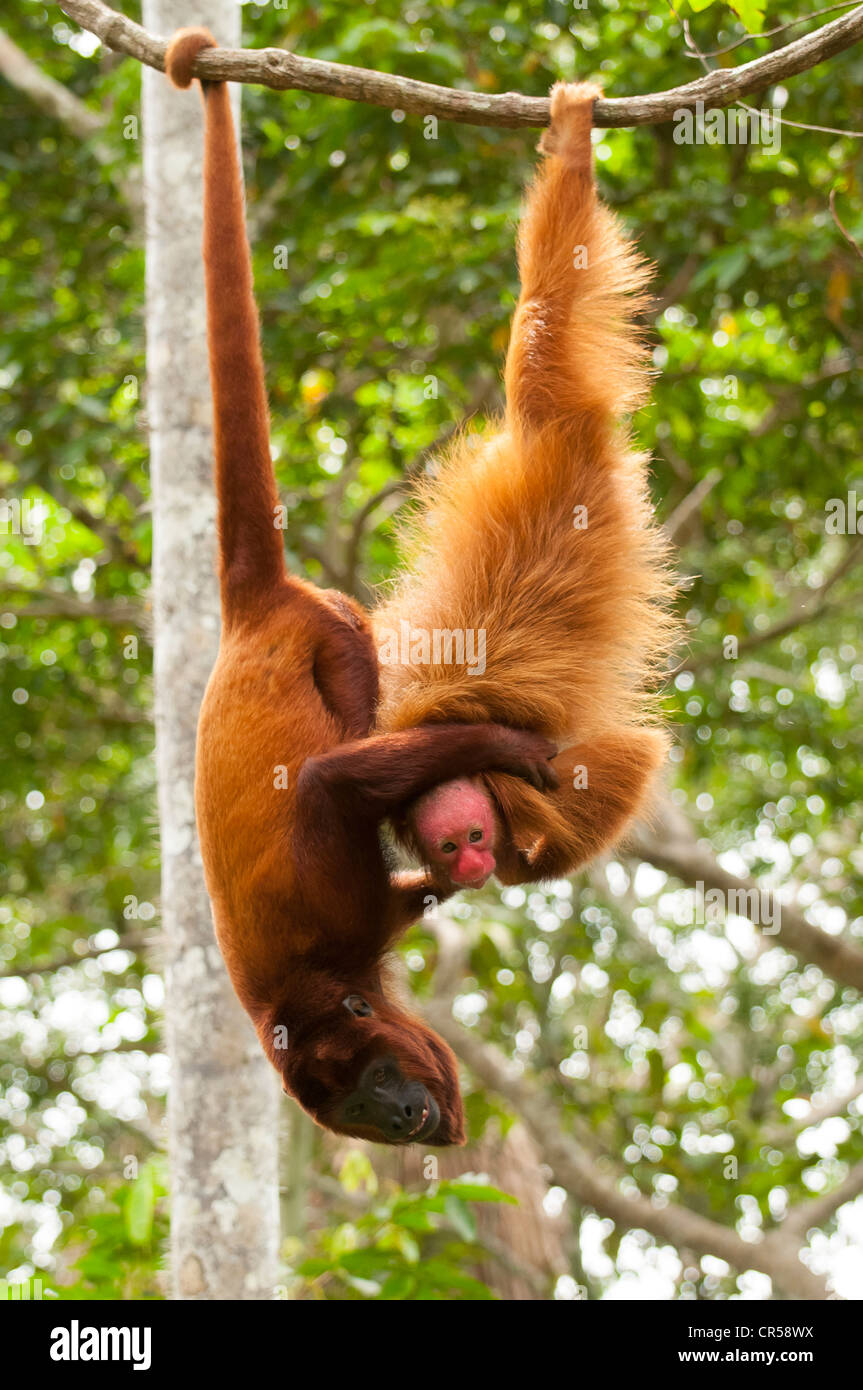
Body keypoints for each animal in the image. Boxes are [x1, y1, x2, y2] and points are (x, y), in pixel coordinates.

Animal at [163, 29, 559, 1148]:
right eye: (364, 1116)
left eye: (376, 1085)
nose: (409, 1118)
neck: (314, 991)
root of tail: (247, 612)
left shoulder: (335, 900)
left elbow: (335, 787)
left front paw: (512, 749)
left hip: (331, 635)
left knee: (352, 710)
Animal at [375, 82, 677, 892]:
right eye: (452, 846)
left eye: (473, 835)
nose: (475, 864)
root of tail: (547, 445)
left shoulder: (512, 769)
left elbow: (625, 763)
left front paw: (522, 863)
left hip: (551, 400)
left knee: (542, 311)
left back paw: (569, 152)